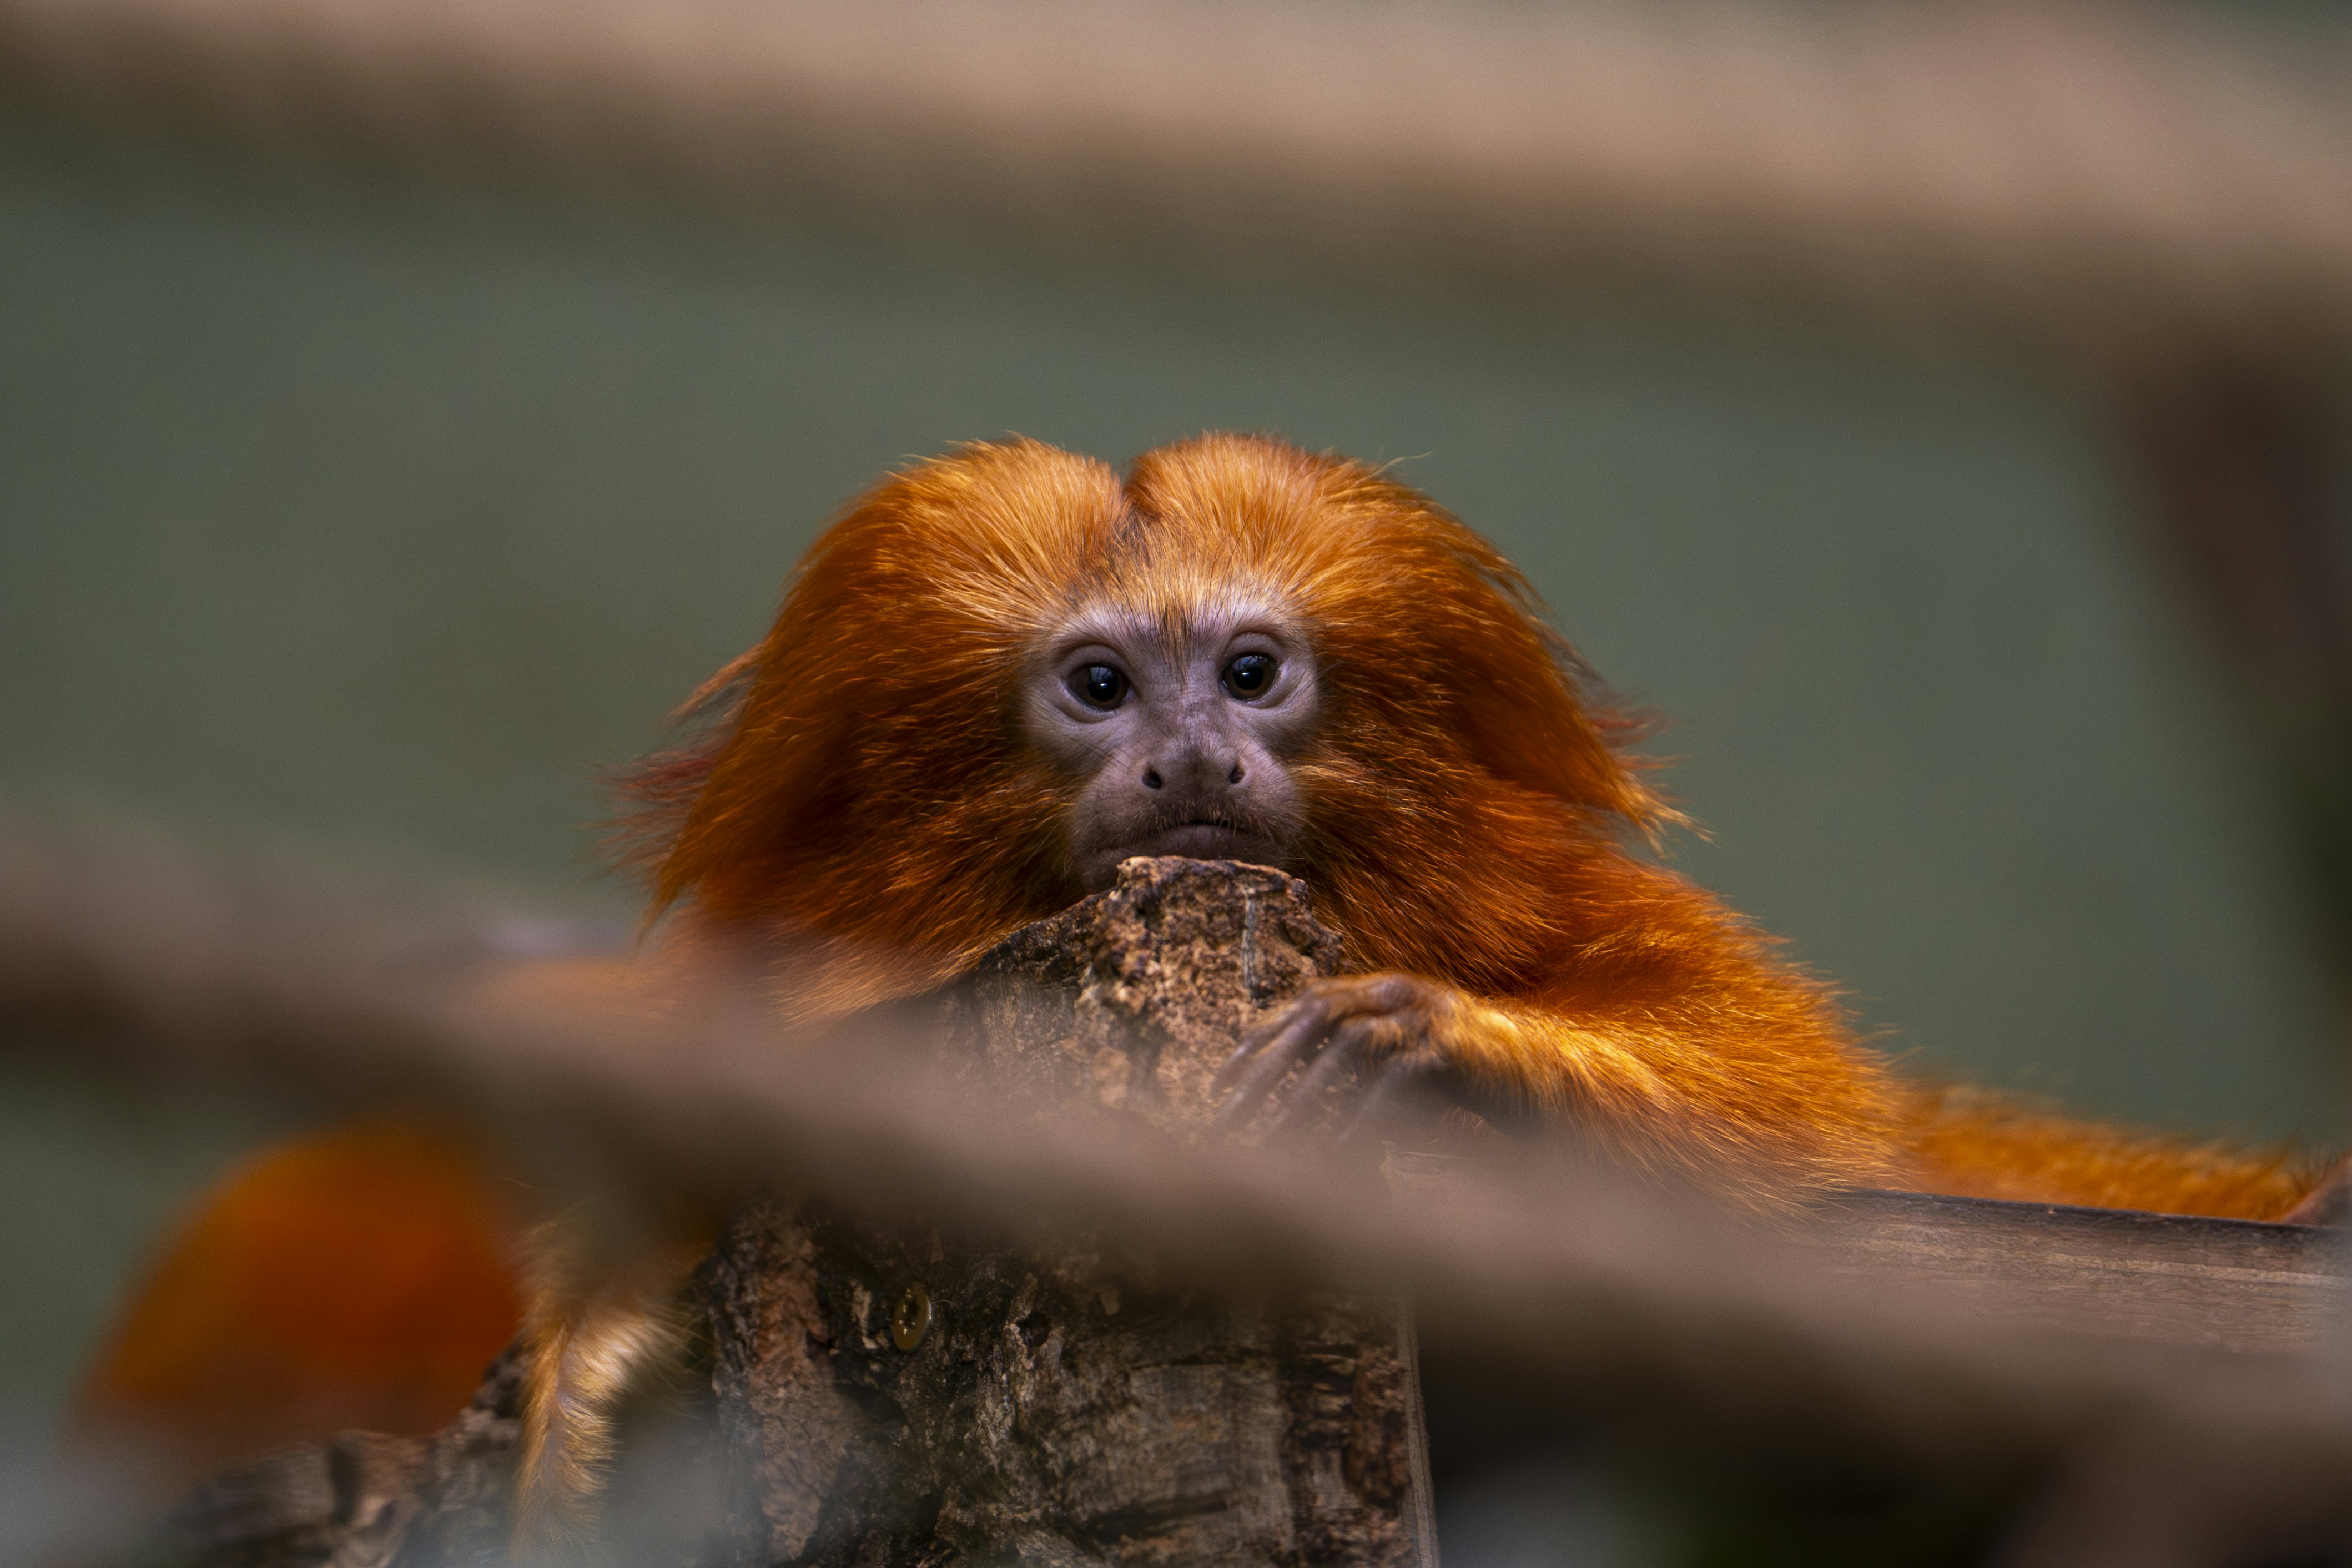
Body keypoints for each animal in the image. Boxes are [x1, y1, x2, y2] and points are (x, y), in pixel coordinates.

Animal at [76, 431, 2337, 1548]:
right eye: (1097, 684)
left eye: (1252, 670)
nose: (1189, 759)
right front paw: (583, 1370)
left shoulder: (1505, 879)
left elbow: (1789, 1101)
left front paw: (1446, 1051)